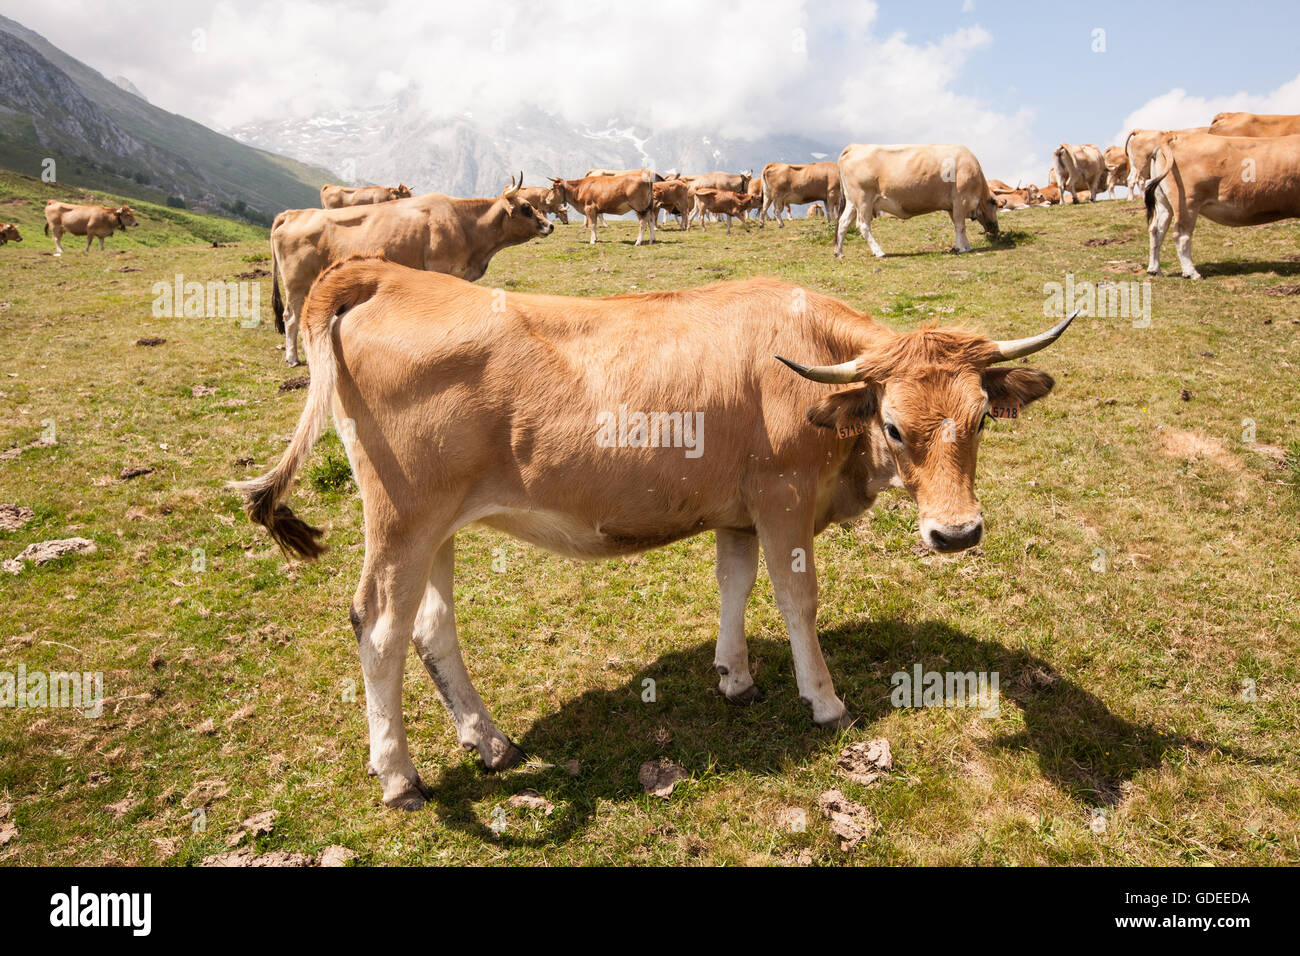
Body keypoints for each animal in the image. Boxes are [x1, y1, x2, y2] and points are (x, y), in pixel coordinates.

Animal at [231, 253, 1073, 810]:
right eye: (894, 427)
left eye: (979, 419)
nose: (957, 533)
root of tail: (379, 271)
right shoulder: (782, 496)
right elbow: (797, 599)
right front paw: (825, 701)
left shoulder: (738, 507)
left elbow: (735, 583)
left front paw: (734, 676)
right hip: (402, 518)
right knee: (377, 626)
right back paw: (400, 776)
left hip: (438, 525)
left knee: (431, 626)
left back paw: (490, 741)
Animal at [269, 177, 552, 365]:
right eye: (526, 207)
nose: (549, 225)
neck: (465, 225)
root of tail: (292, 214)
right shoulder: (442, 272)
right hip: (296, 284)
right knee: (290, 318)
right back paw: (293, 357)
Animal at [834, 144, 999, 257]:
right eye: (995, 205)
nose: (996, 229)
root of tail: (855, 146)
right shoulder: (961, 200)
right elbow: (960, 226)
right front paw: (961, 248)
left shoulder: (952, 207)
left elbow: (959, 226)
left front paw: (967, 246)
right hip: (864, 199)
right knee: (863, 225)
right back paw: (879, 251)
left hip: (852, 202)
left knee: (843, 223)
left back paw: (839, 252)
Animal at [1145, 130, 1300, 280]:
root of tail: (1177, 135)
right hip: (1187, 203)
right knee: (1181, 236)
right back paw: (1191, 273)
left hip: (1164, 203)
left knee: (1156, 231)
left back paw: (1154, 270)